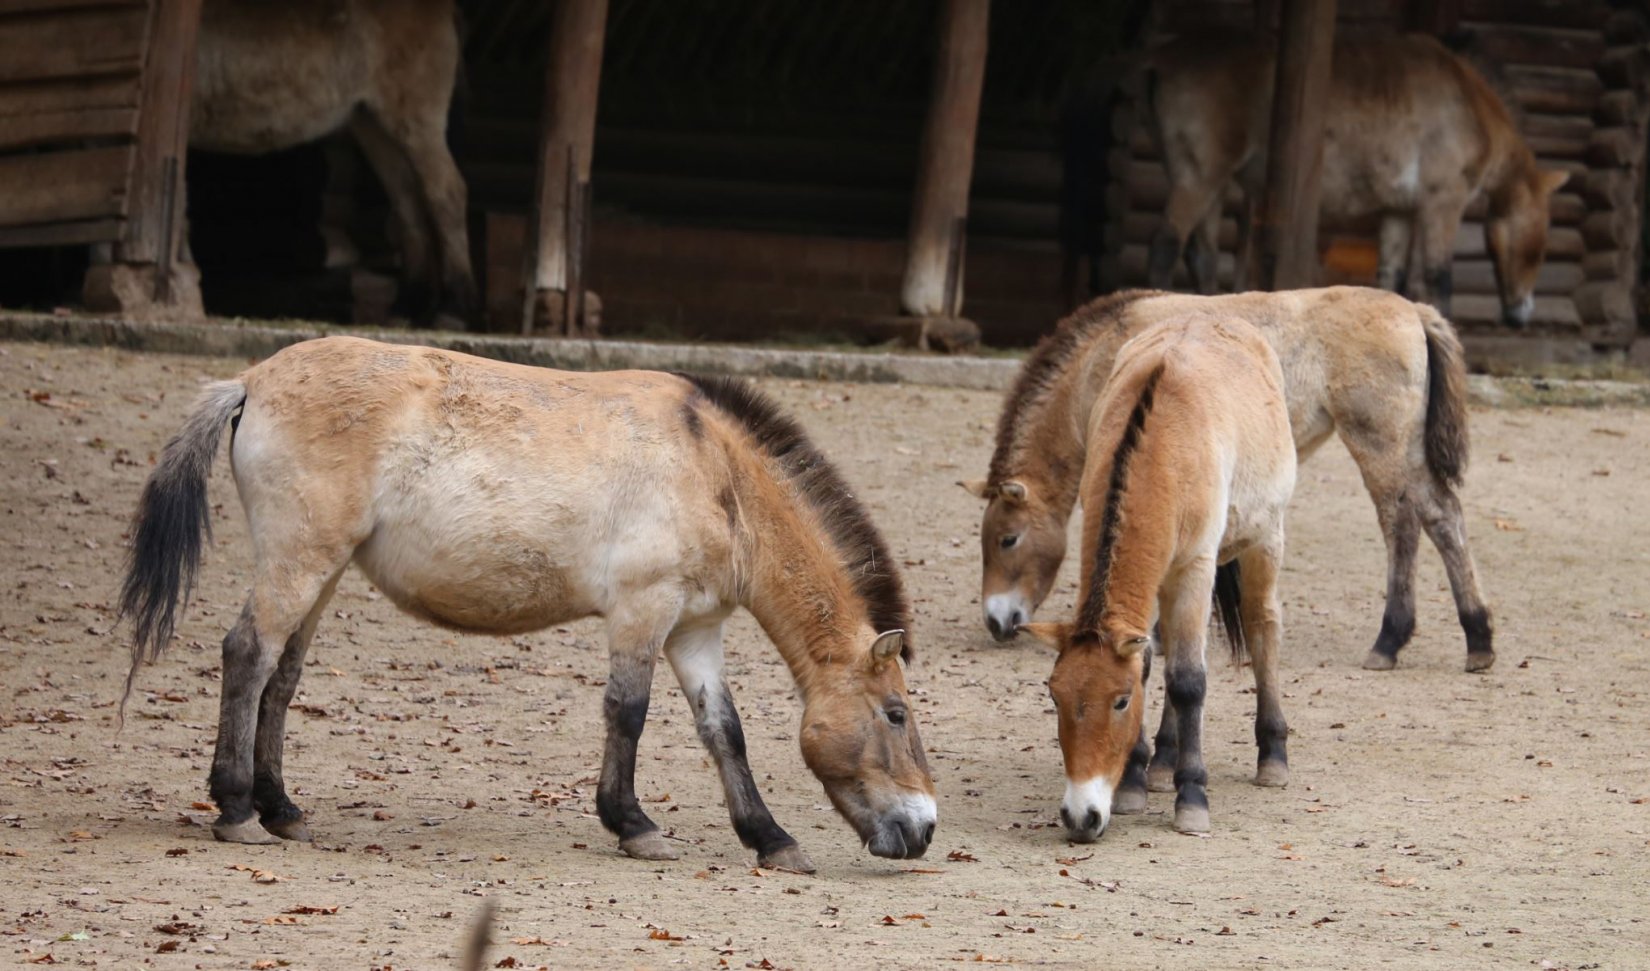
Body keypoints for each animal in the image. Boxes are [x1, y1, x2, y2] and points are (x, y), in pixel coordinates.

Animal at [118, 336, 937, 871]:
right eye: (895, 714)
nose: (925, 828)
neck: (715, 469)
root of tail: (252, 381)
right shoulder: (643, 612)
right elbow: (629, 713)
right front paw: (633, 825)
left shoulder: (695, 629)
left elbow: (723, 732)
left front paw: (771, 840)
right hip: (300, 559)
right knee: (248, 655)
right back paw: (236, 811)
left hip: (323, 571)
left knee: (281, 677)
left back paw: (282, 810)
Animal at [190, 0, 476, 327]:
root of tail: (443, 8)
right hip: (370, 124)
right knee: (407, 202)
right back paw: (406, 308)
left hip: (414, 121)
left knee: (446, 195)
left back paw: (452, 310)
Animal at [964, 287, 1494, 677]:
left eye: (1008, 539)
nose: (996, 621)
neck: (1100, 356)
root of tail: (1415, 312)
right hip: (1407, 450)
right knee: (1444, 516)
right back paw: (1478, 638)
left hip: (1378, 445)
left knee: (1401, 524)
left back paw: (1389, 640)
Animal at [1020, 314, 1297, 839]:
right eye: (1054, 696)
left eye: (1121, 702)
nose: (1081, 817)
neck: (1163, 446)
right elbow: (1153, 666)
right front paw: (1133, 783)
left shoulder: (1195, 569)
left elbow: (1189, 680)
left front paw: (1192, 799)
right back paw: (1163, 763)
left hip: (1265, 540)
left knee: (1263, 628)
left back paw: (1272, 756)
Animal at [1144, 32, 1569, 326]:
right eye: (1540, 251)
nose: (1520, 315)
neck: (1468, 104)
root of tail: (1162, 59)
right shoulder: (1442, 203)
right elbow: (1440, 278)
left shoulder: (1398, 211)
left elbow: (1391, 278)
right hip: (1198, 179)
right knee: (1166, 246)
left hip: (1211, 186)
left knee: (1203, 257)